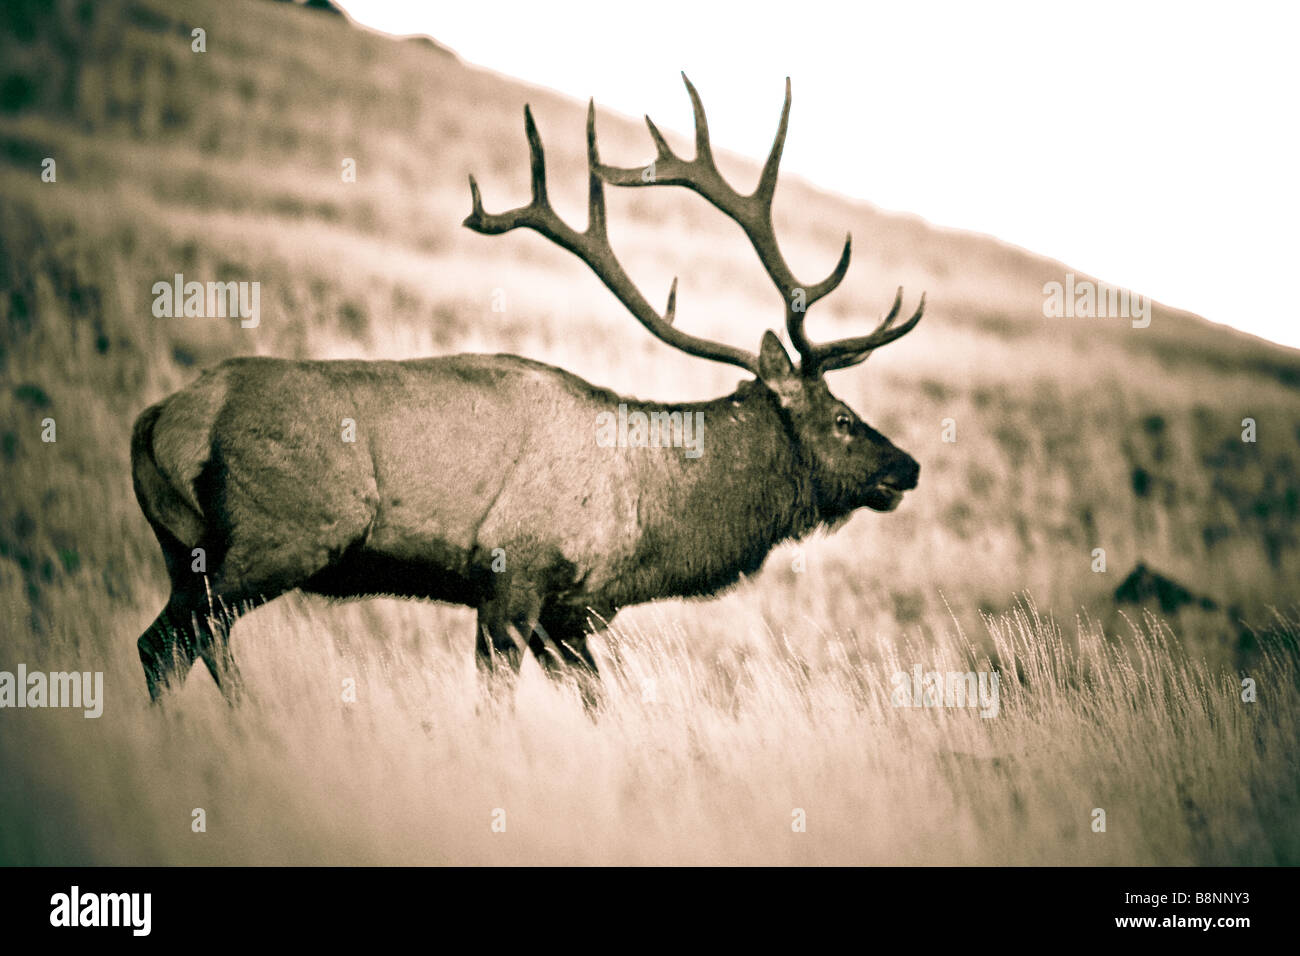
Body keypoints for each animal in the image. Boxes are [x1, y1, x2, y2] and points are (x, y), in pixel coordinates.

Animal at [131, 75, 924, 709]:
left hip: (185, 549)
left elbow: (603, 707)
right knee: (168, 642)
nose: (909, 466)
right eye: (843, 418)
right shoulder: (512, 580)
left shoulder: (567, 616)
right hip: (278, 537)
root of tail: (162, 420)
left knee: (183, 646)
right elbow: (495, 708)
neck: (648, 513)